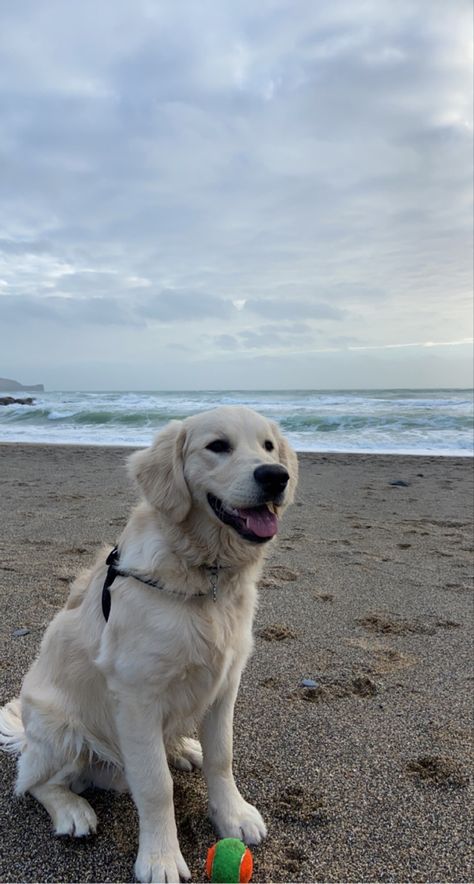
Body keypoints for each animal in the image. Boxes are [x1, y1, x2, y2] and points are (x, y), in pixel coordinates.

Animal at [0, 404, 296, 880]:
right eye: (218, 446)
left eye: (269, 446)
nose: (276, 476)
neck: (206, 574)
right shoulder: (137, 697)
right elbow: (157, 785)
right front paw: (161, 858)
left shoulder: (225, 683)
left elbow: (223, 756)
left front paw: (233, 814)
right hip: (59, 727)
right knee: (33, 781)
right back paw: (72, 810)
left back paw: (182, 747)